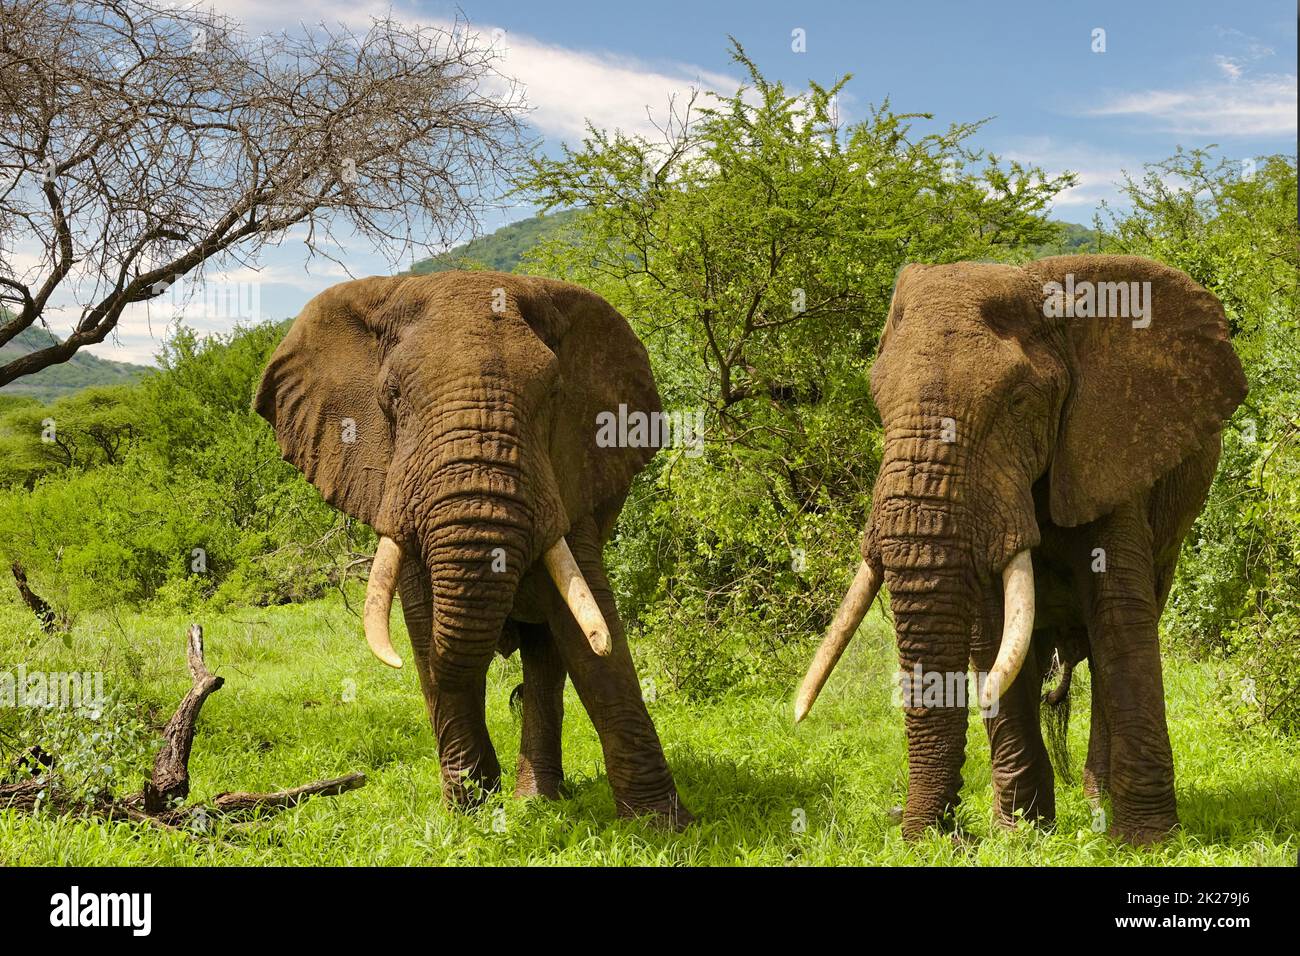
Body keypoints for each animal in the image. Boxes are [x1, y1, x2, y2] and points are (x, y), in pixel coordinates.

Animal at [254, 270, 691, 827]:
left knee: (546, 655)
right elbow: (424, 625)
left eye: (554, 393)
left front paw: (663, 827)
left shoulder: (571, 477)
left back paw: (535, 800)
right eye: (391, 395)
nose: (484, 792)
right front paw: (469, 814)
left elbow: (590, 635)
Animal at [794, 255, 1246, 843]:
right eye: (878, 403)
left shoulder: (1111, 451)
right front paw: (1020, 834)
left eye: (1017, 402)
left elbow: (1120, 617)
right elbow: (990, 632)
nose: (946, 833)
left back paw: (1100, 802)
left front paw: (1149, 842)